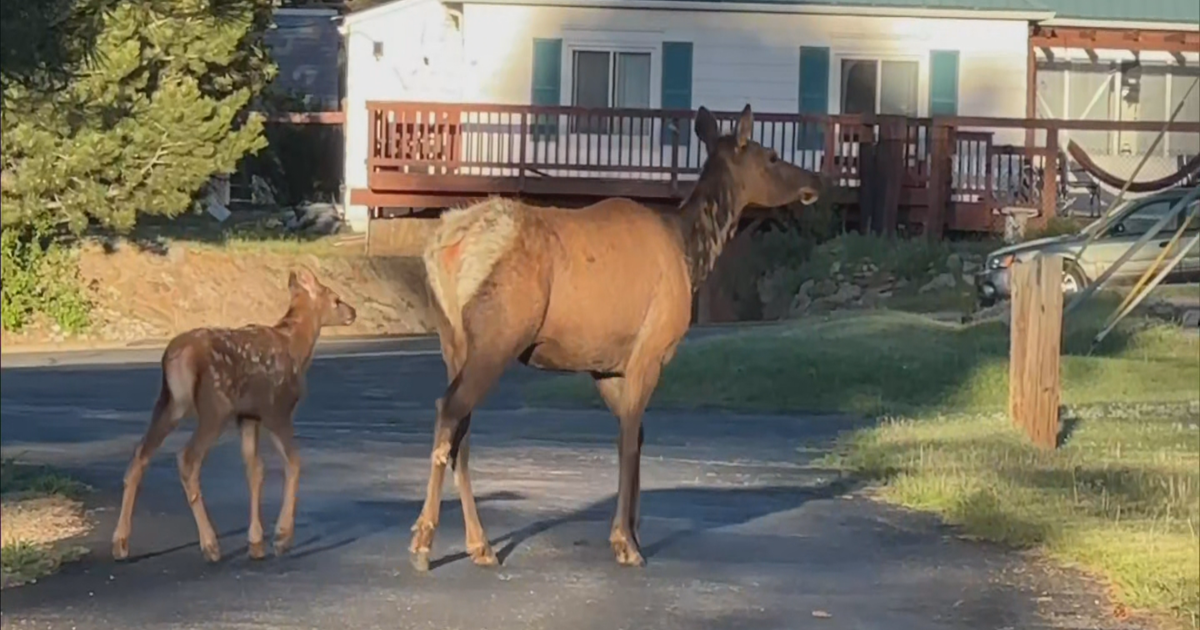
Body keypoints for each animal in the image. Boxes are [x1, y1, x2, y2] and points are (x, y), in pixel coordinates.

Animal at [111, 268, 357, 563]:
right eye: (336, 299)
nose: (353, 312)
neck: (297, 348)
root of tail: (176, 354)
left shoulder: (248, 416)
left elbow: (255, 470)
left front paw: (256, 542)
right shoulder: (277, 410)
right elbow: (294, 463)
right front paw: (282, 538)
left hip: (169, 403)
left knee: (140, 455)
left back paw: (120, 543)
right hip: (215, 406)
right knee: (187, 458)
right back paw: (210, 545)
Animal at [408, 104, 824, 571]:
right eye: (772, 156)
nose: (815, 181)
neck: (689, 252)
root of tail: (443, 246)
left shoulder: (605, 366)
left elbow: (636, 435)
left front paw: (633, 533)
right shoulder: (651, 349)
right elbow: (628, 439)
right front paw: (626, 542)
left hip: (453, 342)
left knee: (461, 425)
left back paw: (480, 544)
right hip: (497, 335)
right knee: (449, 409)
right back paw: (424, 543)